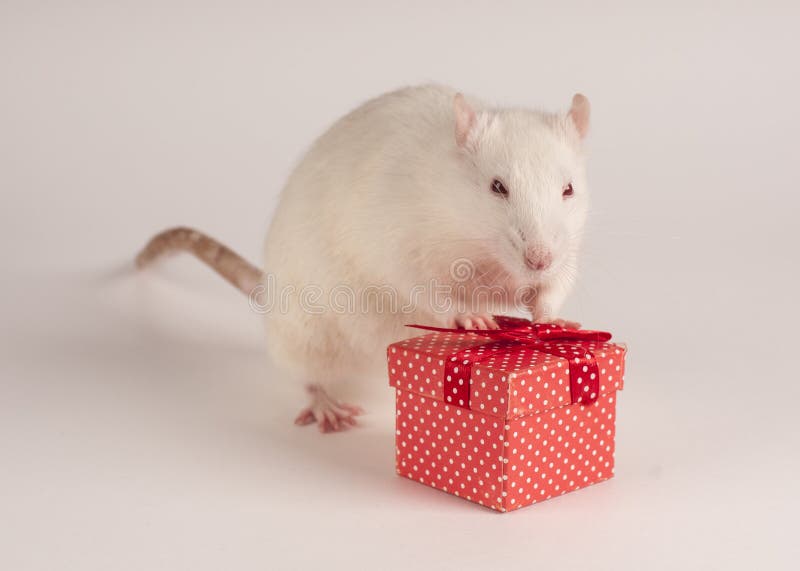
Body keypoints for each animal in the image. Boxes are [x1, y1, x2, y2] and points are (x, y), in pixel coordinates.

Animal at [137, 84, 592, 432]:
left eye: (568, 189)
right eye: (498, 187)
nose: (538, 259)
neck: (488, 253)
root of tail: (265, 290)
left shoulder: (567, 252)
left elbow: (556, 286)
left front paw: (552, 318)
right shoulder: (403, 242)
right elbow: (419, 285)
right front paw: (466, 315)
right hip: (303, 333)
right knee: (306, 374)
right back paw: (324, 403)